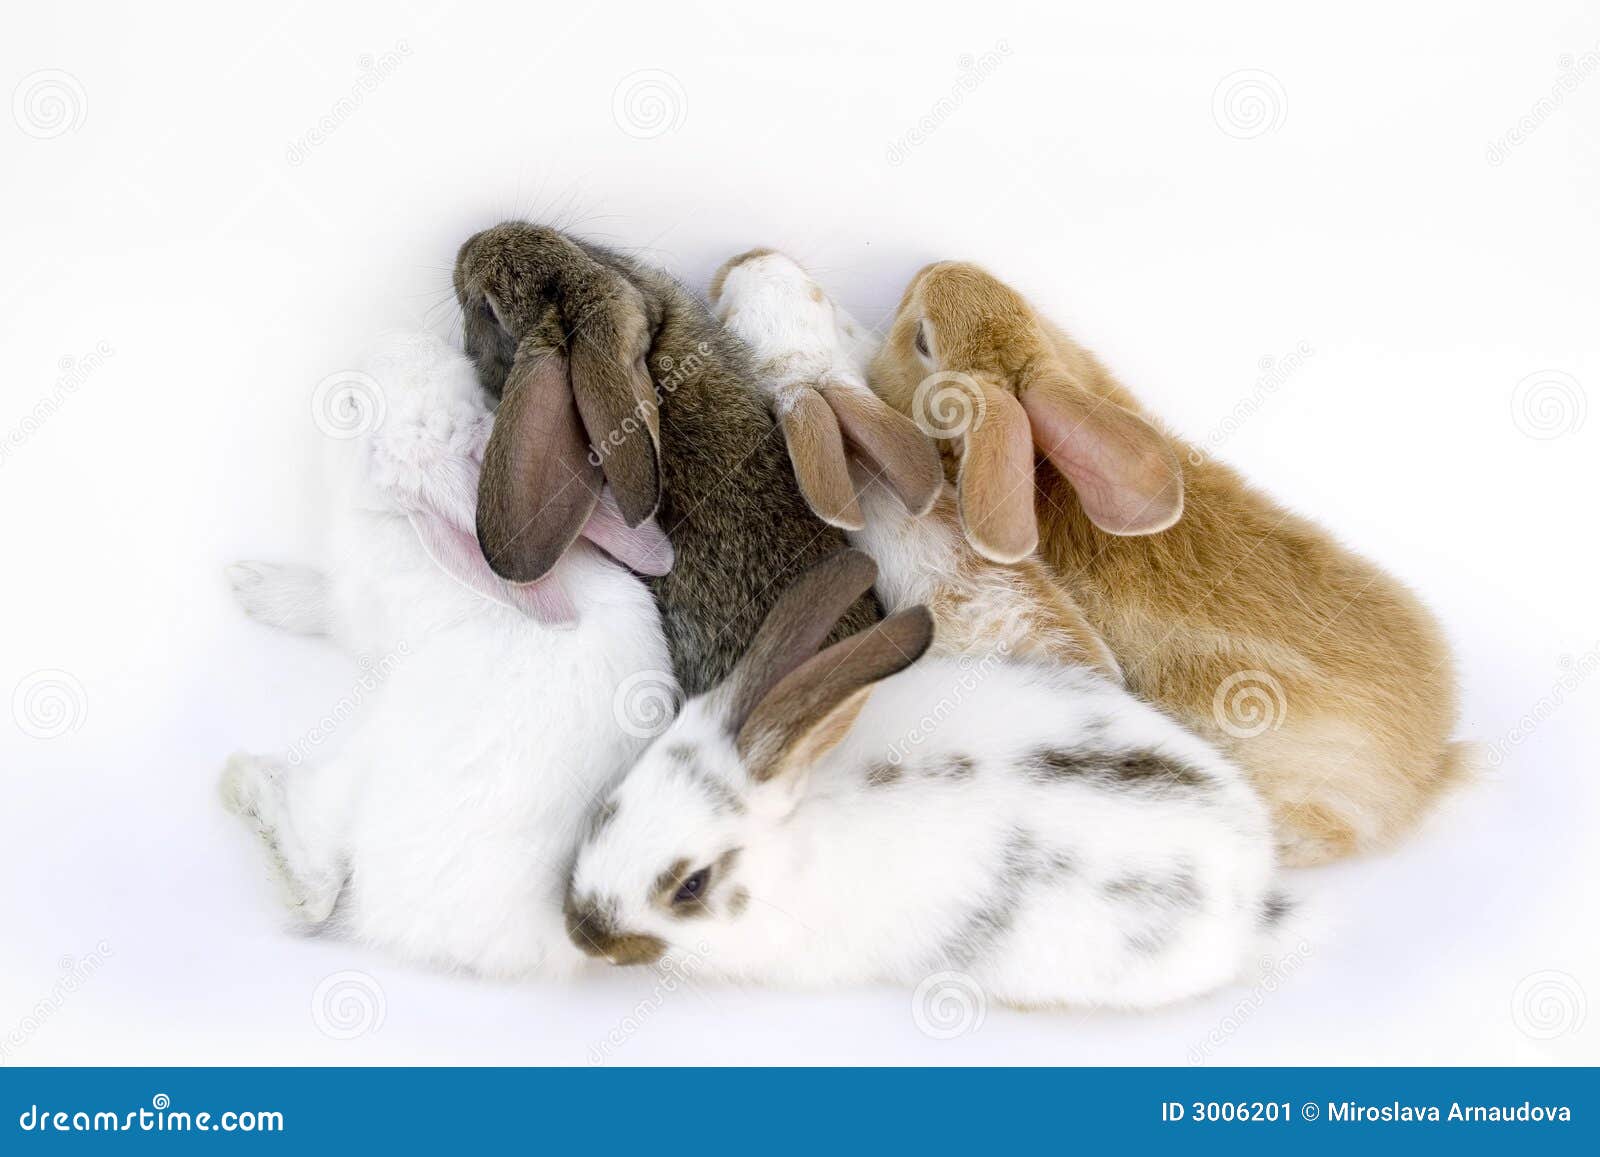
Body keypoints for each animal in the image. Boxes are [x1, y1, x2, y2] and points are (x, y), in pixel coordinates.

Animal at [219, 330, 675, 978]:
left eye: (350, 406)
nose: (385, 340)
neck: (404, 525)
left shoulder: (351, 610)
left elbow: (315, 606)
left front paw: (253, 587)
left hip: (356, 775)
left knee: (318, 884)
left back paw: (244, 784)